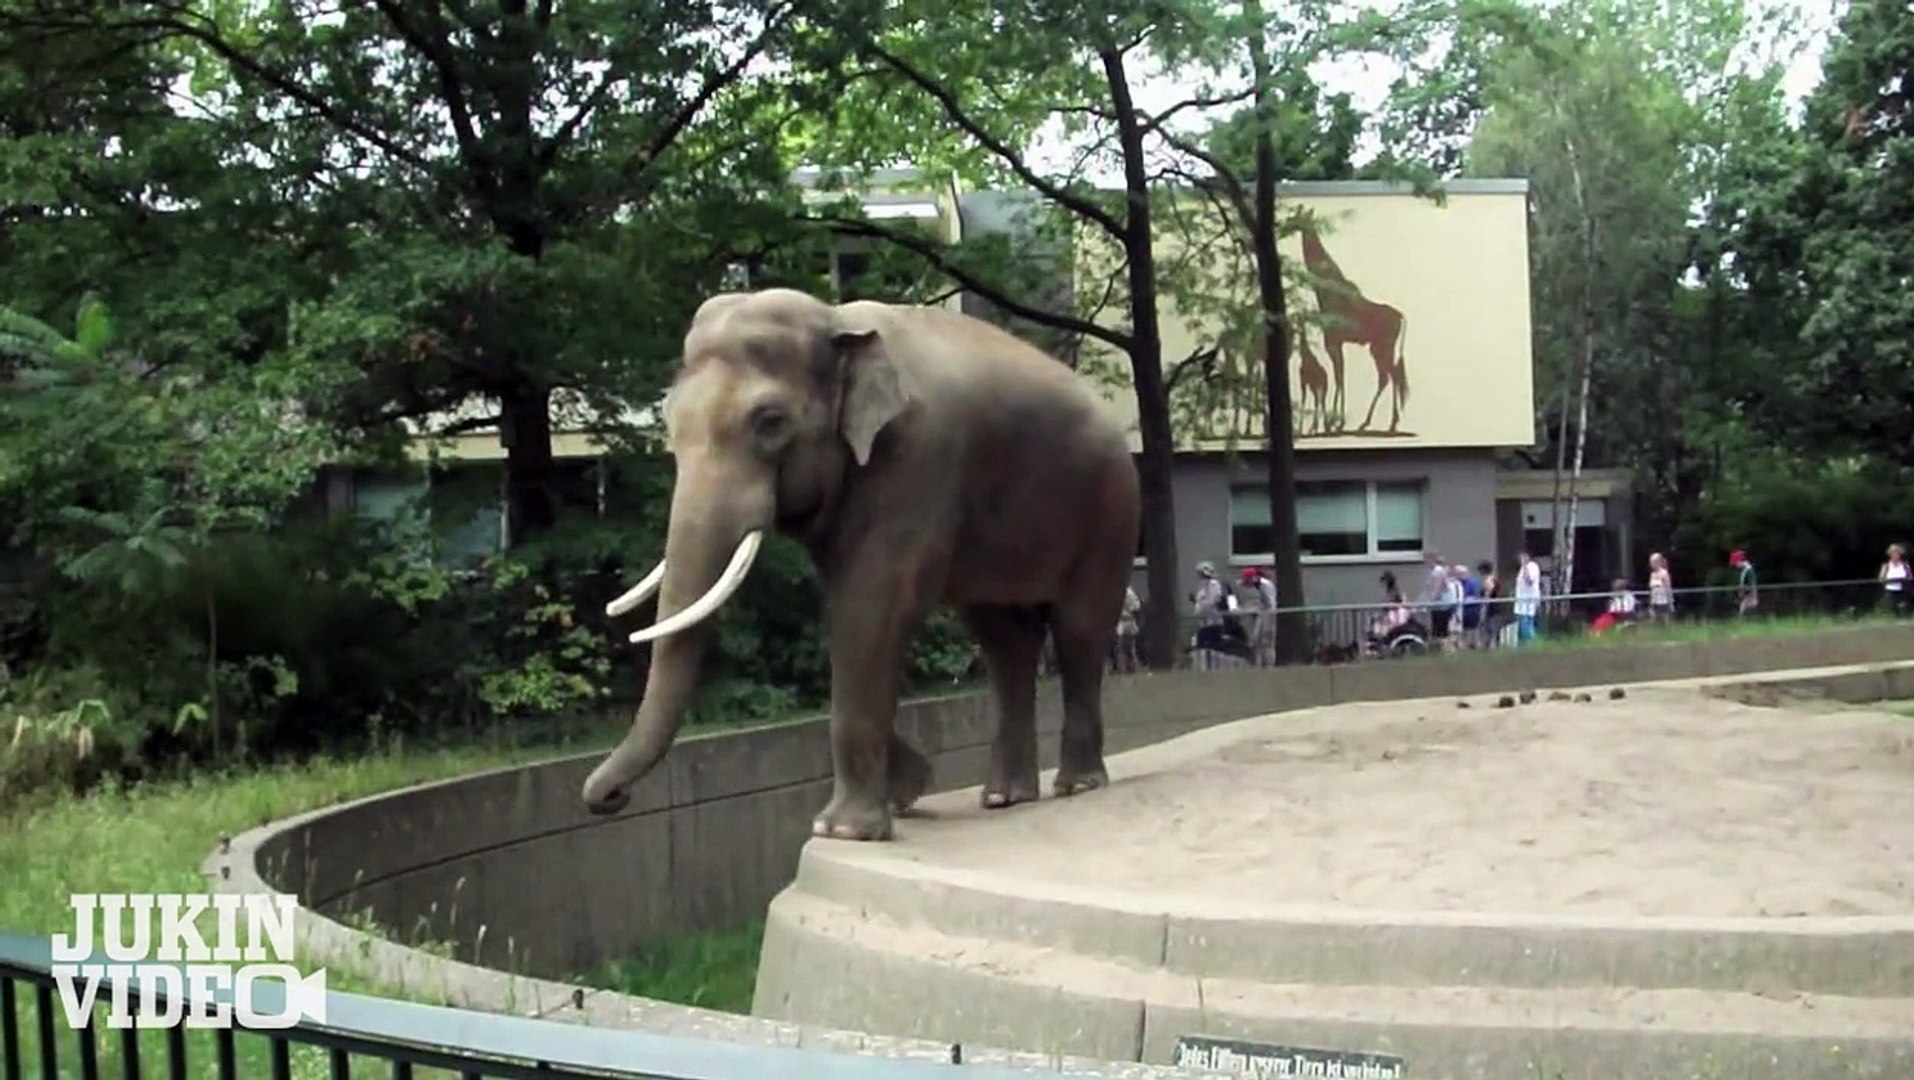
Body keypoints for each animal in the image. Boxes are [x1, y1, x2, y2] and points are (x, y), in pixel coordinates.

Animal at [581, 288, 1141, 842]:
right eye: (669, 419)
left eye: (770, 422)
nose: (610, 797)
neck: (837, 320)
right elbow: (853, 613)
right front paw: (906, 789)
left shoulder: (918, 457)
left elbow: (873, 605)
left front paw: (843, 829)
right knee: (1005, 640)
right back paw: (1004, 797)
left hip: (1111, 507)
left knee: (1079, 630)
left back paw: (1077, 785)